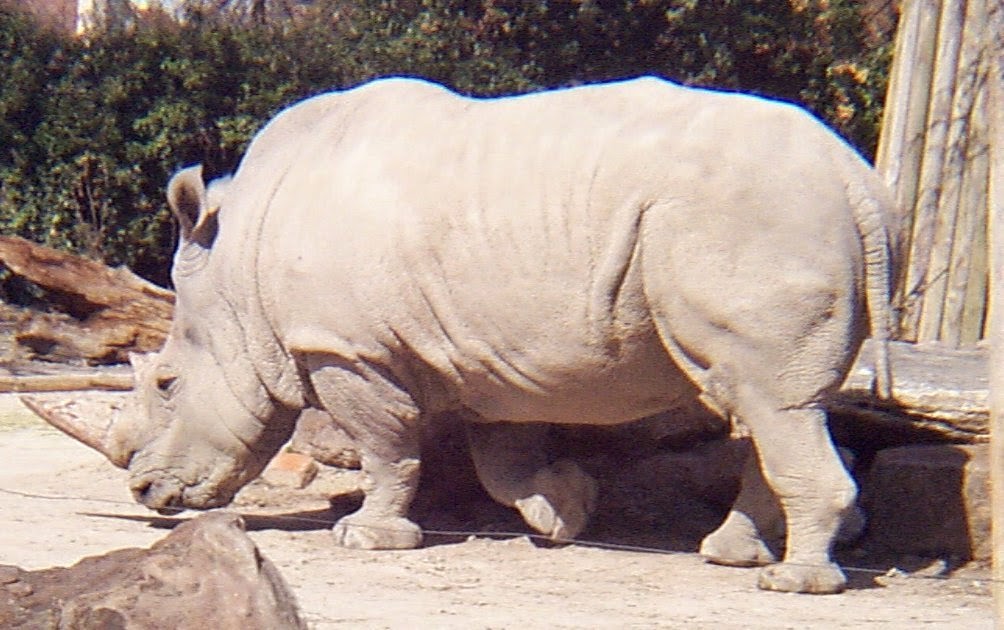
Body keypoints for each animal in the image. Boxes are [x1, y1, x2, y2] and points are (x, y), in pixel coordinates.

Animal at [37, 77, 899, 594]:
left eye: (167, 384)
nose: (145, 495)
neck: (239, 265)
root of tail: (855, 175)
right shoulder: (496, 358)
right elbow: (501, 460)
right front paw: (564, 513)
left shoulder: (348, 349)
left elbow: (387, 446)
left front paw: (367, 538)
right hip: (775, 220)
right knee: (766, 401)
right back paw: (732, 554)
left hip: (753, 221)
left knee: (768, 400)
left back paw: (790, 583)